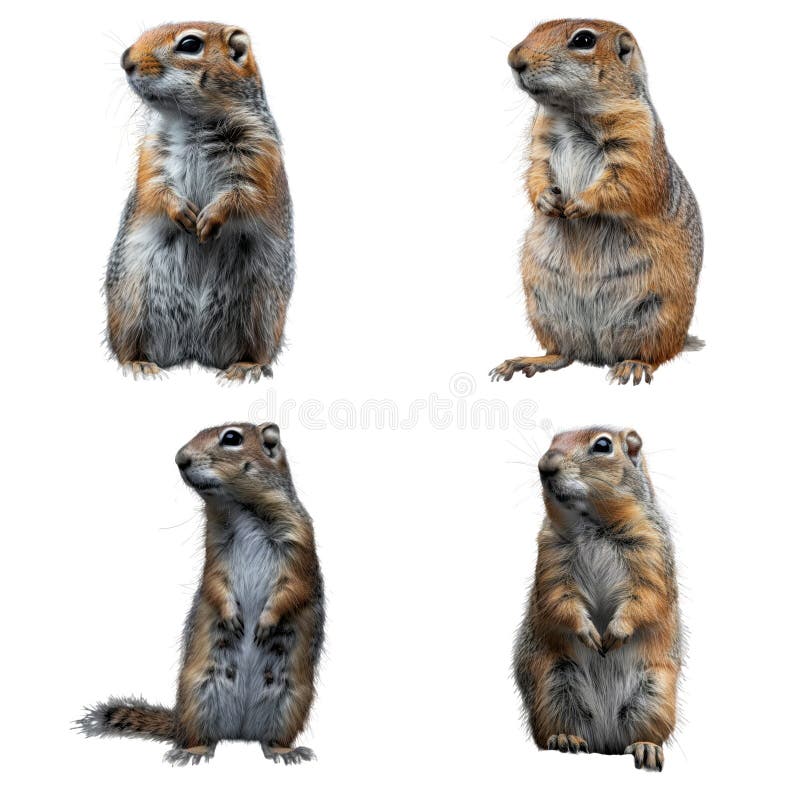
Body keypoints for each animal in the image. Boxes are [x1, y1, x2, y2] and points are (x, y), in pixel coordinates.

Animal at [77, 423, 325, 765]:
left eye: (232, 438)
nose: (180, 459)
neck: (239, 507)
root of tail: (240, 734)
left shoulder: (299, 540)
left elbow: (294, 586)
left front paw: (265, 622)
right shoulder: (214, 550)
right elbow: (214, 583)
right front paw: (232, 617)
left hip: (292, 702)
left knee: (270, 740)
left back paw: (286, 751)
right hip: (196, 694)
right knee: (201, 737)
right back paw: (190, 752)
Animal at [106, 22, 294, 382]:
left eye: (190, 44)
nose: (125, 60)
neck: (191, 119)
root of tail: (194, 350)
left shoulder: (259, 154)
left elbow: (244, 195)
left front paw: (209, 219)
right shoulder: (151, 154)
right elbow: (154, 187)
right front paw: (182, 211)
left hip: (264, 314)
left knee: (258, 351)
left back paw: (245, 368)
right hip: (128, 306)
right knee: (126, 347)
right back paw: (140, 364)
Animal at [490, 19, 703, 386]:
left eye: (584, 40)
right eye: (534, 28)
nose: (514, 59)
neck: (572, 113)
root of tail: (599, 353)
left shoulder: (637, 143)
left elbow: (627, 184)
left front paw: (579, 205)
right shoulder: (540, 144)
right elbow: (536, 174)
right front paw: (547, 200)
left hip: (660, 314)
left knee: (657, 354)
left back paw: (633, 365)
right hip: (544, 309)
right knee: (564, 354)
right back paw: (527, 361)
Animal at [513, 427, 682, 771]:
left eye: (602, 445)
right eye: (553, 440)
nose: (544, 466)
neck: (592, 523)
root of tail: (604, 745)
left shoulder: (652, 550)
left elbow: (646, 596)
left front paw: (615, 632)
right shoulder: (550, 556)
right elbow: (557, 597)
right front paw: (588, 632)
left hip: (654, 693)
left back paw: (646, 747)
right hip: (554, 686)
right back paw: (566, 739)